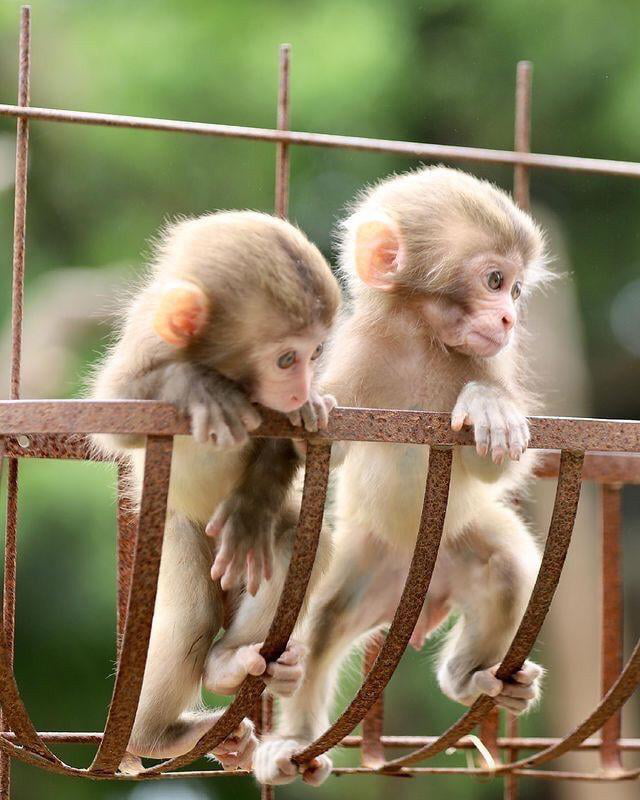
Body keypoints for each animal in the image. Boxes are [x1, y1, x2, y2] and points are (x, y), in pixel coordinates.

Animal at [89, 210, 341, 771]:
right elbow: (114, 416)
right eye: (286, 359)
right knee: (192, 621)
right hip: (178, 537)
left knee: (299, 538)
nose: (300, 386)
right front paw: (195, 385)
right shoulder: (146, 345)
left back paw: (231, 664)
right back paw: (157, 737)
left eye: (316, 353)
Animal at [253, 166, 550, 786]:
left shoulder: (492, 361)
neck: (422, 340)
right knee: (325, 621)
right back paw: (292, 740)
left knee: (505, 563)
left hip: (459, 547)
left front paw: (488, 407)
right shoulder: (358, 352)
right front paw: (305, 407)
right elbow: (328, 447)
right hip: (371, 562)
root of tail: (426, 599)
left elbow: (497, 464)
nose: (510, 318)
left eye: (515, 290)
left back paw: (468, 678)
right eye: (494, 280)